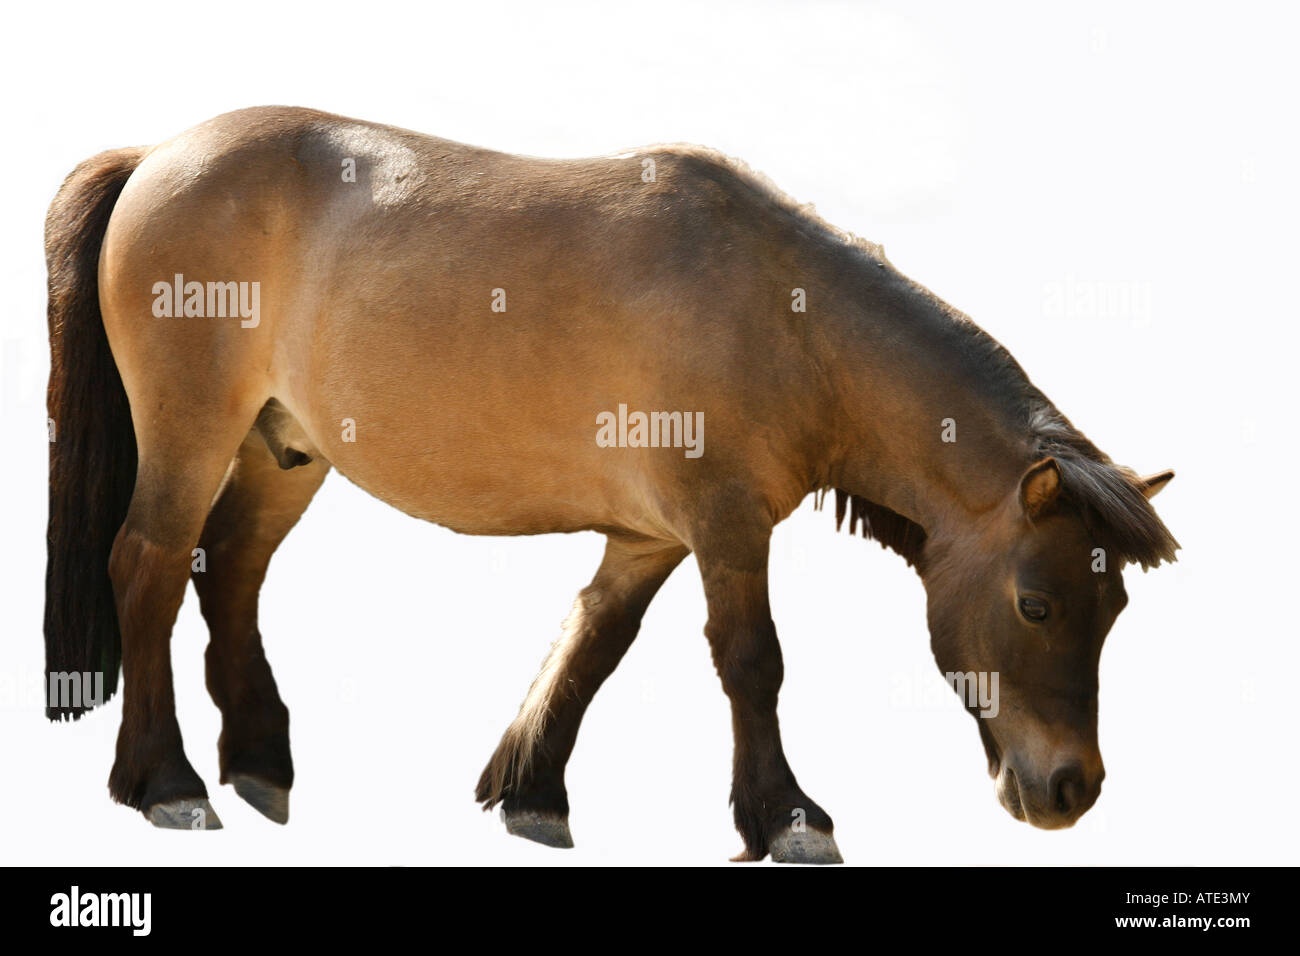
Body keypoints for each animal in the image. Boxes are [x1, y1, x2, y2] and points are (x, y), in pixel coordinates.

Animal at [44, 106, 1178, 863]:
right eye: (1037, 604)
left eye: (1115, 607)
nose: (1070, 788)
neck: (787, 318)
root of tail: (156, 157)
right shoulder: (726, 526)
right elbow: (752, 662)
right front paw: (787, 815)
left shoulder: (651, 536)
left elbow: (594, 643)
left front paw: (532, 791)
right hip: (191, 433)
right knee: (145, 568)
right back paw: (167, 782)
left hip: (284, 451)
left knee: (229, 569)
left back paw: (258, 761)